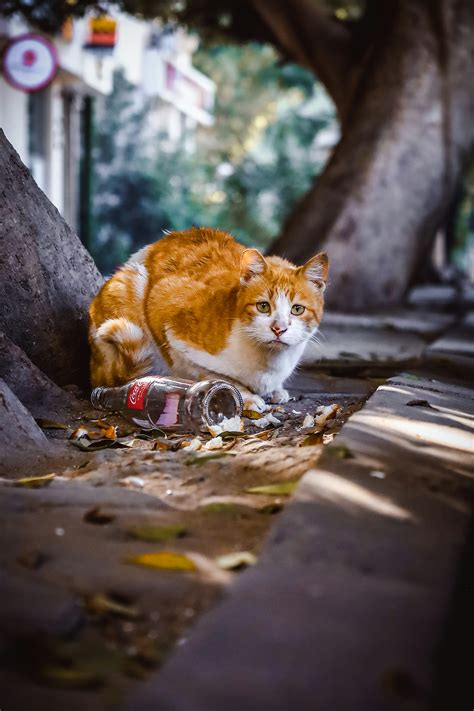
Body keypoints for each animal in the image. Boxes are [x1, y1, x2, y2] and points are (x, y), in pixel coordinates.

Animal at [89, 228, 328, 412]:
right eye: (263, 306)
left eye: (297, 310)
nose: (279, 328)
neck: (268, 363)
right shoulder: (167, 320)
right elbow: (212, 374)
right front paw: (245, 396)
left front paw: (275, 390)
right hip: (130, 285)